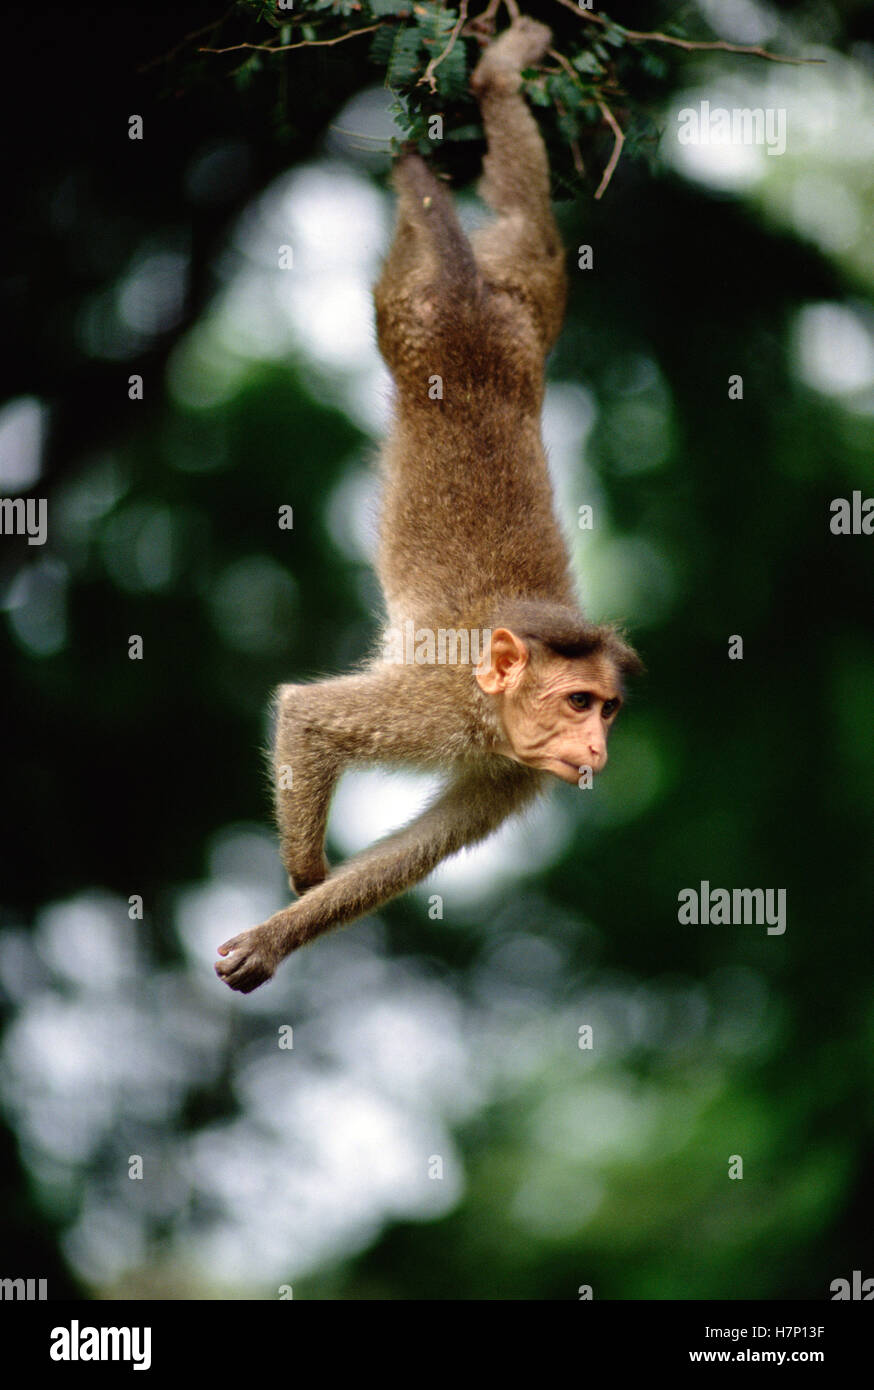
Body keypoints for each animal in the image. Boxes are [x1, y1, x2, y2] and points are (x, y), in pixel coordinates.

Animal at [215, 16, 641, 994]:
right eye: (578, 704)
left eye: (605, 710)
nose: (597, 751)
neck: (493, 705)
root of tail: (478, 309)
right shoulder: (440, 704)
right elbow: (307, 717)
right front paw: (304, 872)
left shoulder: (512, 772)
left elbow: (418, 850)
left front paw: (277, 934)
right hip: (416, 315)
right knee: (428, 264)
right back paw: (430, 166)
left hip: (527, 299)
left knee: (526, 227)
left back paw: (501, 76)